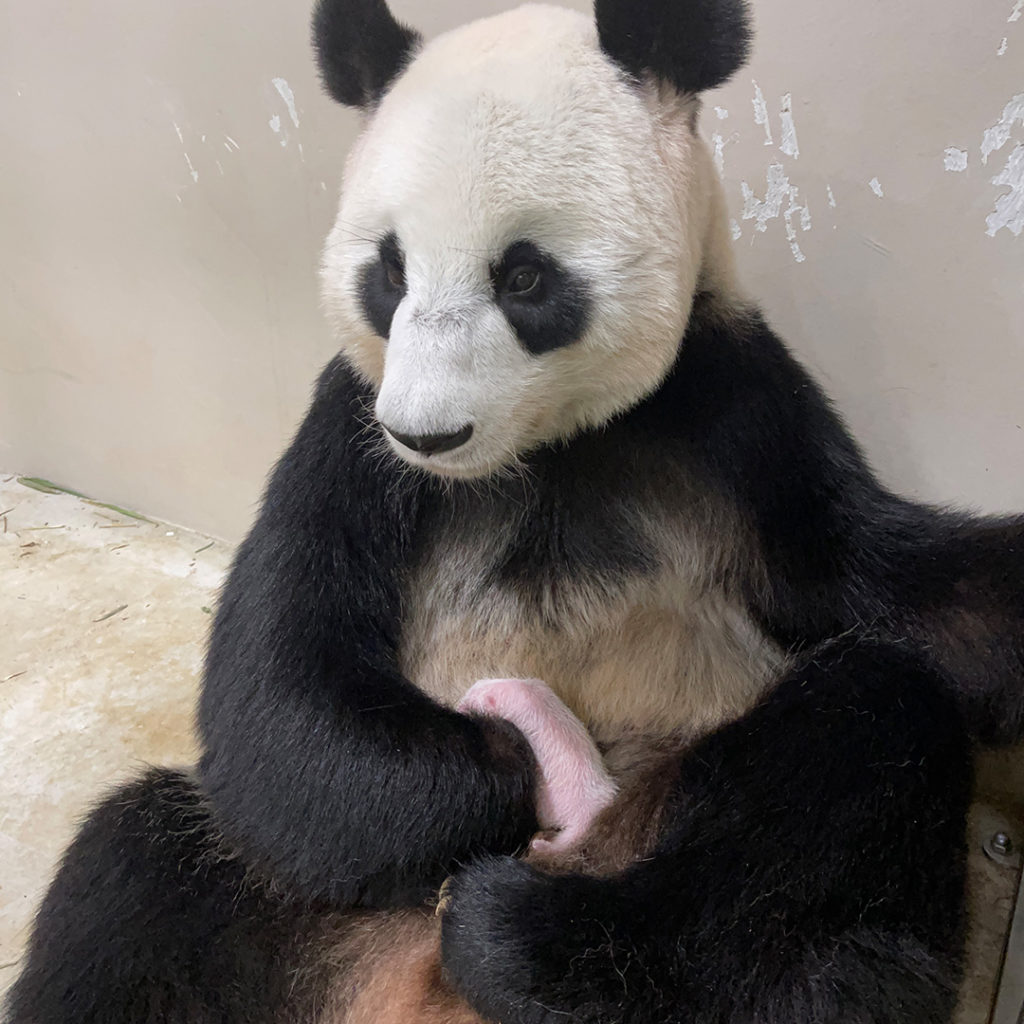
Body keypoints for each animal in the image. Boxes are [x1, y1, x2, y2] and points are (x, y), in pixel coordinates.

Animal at [6, 0, 1024, 1022]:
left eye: (524, 277)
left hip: (720, 836)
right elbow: (280, 685)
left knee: (851, 763)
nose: (426, 433)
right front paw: (504, 756)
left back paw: (528, 944)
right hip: (285, 897)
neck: (542, 452)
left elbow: (895, 587)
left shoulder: (735, 409)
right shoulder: (350, 438)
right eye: (389, 271)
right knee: (139, 876)